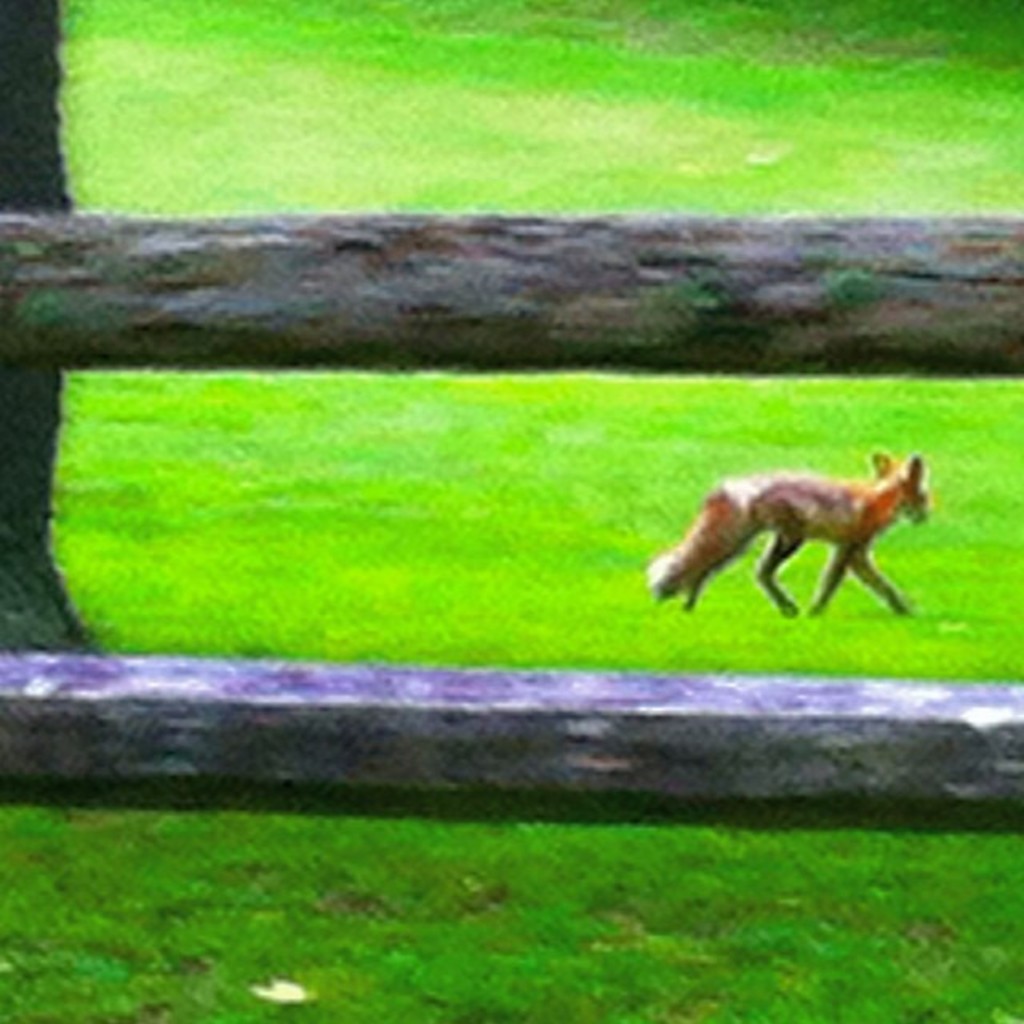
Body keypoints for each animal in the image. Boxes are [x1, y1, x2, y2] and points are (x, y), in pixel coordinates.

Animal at [647, 452, 930, 617]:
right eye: (924, 497)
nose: (926, 516)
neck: (876, 502)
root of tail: (738, 484)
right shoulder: (849, 549)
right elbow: (833, 584)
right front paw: (816, 612)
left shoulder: (854, 552)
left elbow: (881, 586)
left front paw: (903, 611)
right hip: (788, 540)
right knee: (752, 572)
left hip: (750, 543)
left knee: (721, 570)